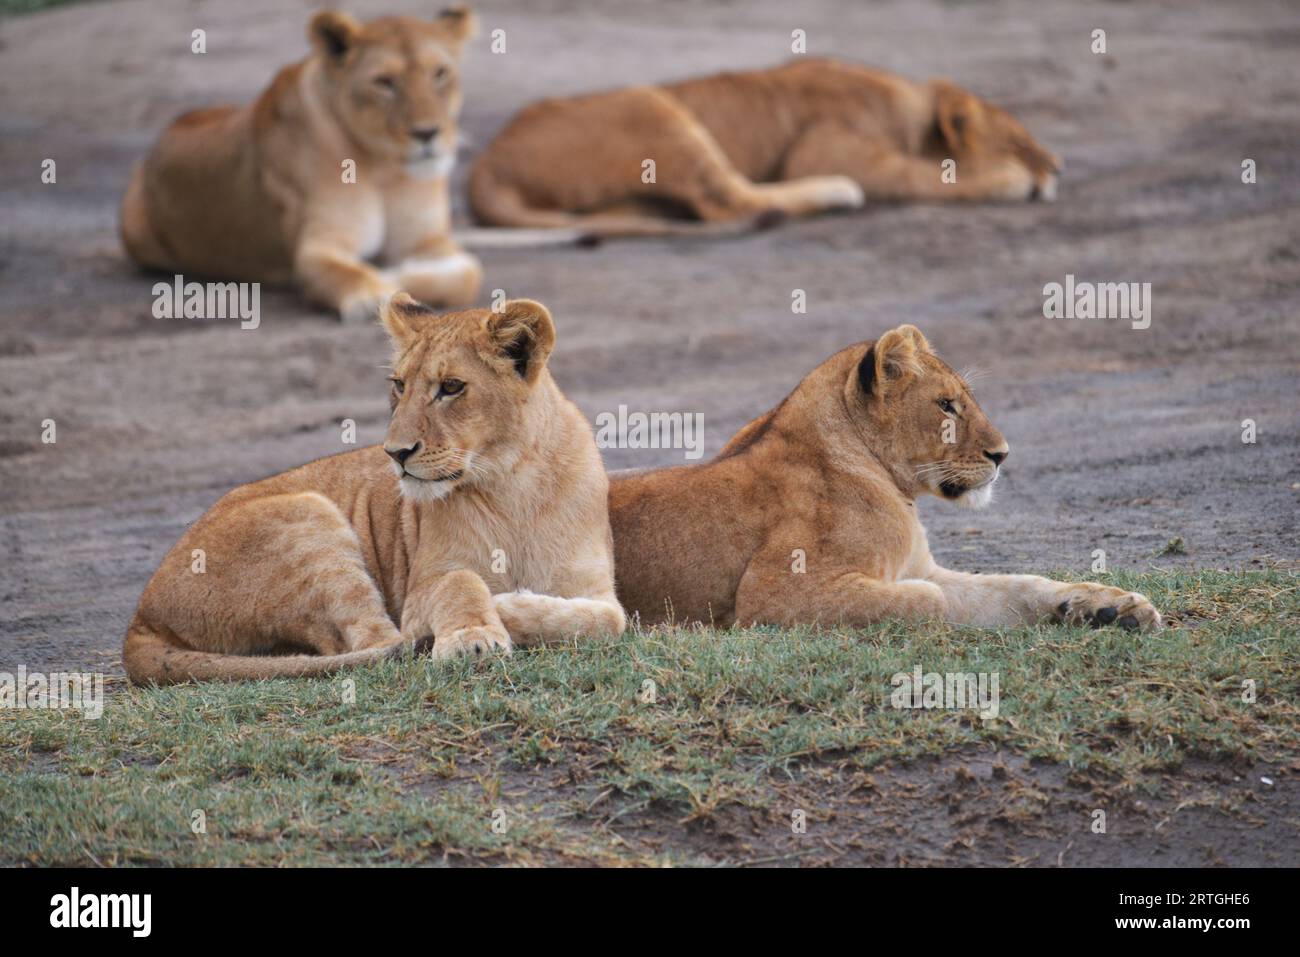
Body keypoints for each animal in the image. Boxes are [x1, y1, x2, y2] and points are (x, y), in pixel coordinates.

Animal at [120, 8, 484, 323]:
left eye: (440, 73)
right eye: (384, 81)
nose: (427, 133)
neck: (385, 169)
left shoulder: (427, 240)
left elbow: (469, 273)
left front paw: (399, 273)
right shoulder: (318, 245)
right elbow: (347, 274)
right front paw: (375, 288)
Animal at [123, 295, 626, 684]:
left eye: (451, 387)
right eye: (399, 385)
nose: (395, 453)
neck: (512, 483)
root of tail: (142, 615)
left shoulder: (594, 588)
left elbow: (604, 620)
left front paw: (509, 606)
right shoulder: (419, 594)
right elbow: (460, 581)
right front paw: (475, 633)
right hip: (308, 518)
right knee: (375, 642)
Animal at [469, 58, 1062, 240]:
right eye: (1021, 141)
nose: (1057, 166)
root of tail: (484, 166)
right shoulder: (825, 149)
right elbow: (921, 175)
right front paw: (1013, 180)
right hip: (651, 105)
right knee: (731, 202)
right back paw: (836, 193)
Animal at [609, 325, 1161, 632]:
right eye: (946, 405)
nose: (1002, 455)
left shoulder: (923, 567)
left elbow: (1013, 586)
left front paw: (1110, 606)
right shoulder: (776, 596)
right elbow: (930, 602)